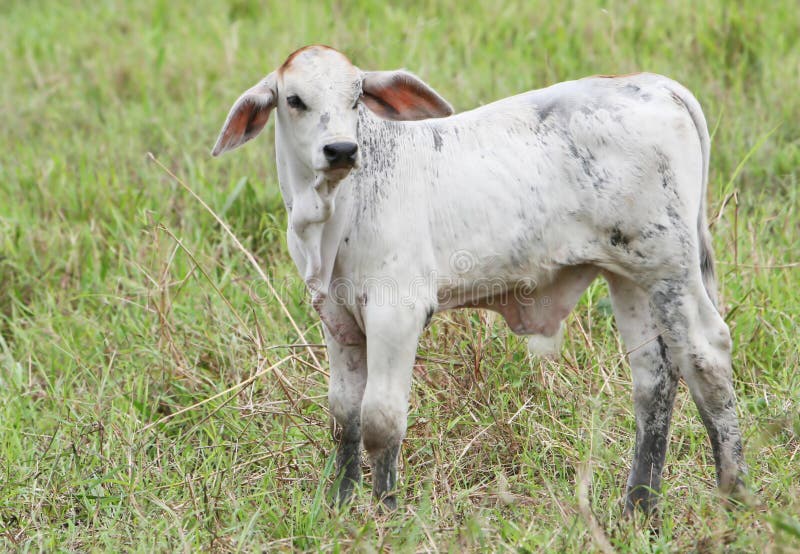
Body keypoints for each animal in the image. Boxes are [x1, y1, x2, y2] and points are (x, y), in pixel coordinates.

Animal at [211, 45, 747, 514]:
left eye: (356, 95)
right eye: (295, 100)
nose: (341, 149)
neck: (336, 210)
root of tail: (656, 85)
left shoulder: (396, 313)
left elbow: (381, 420)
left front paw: (384, 514)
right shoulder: (336, 316)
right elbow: (345, 417)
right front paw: (340, 509)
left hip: (671, 269)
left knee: (707, 356)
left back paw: (734, 499)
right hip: (630, 275)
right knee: (654, 379)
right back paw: (639, 508)